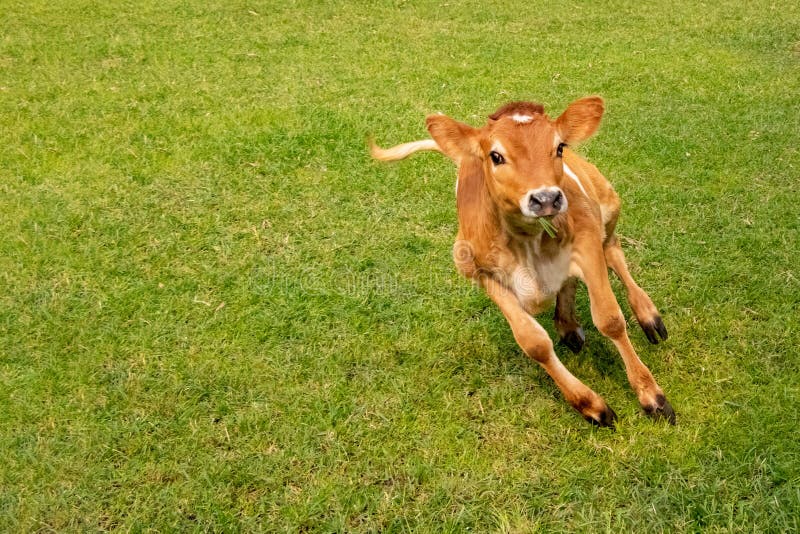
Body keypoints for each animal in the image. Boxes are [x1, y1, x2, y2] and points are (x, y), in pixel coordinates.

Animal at [370, 97, 675, 427]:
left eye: (559, 147)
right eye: (496, 156)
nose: (546, 199)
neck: (528, 241)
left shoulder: (586, 238)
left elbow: (610, 319)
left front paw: (652, 396)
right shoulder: (480, 270)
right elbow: (534, 343)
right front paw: (590, 405)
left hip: (607, 203)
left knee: (614, 251)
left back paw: (648, 316)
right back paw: (568, 325)